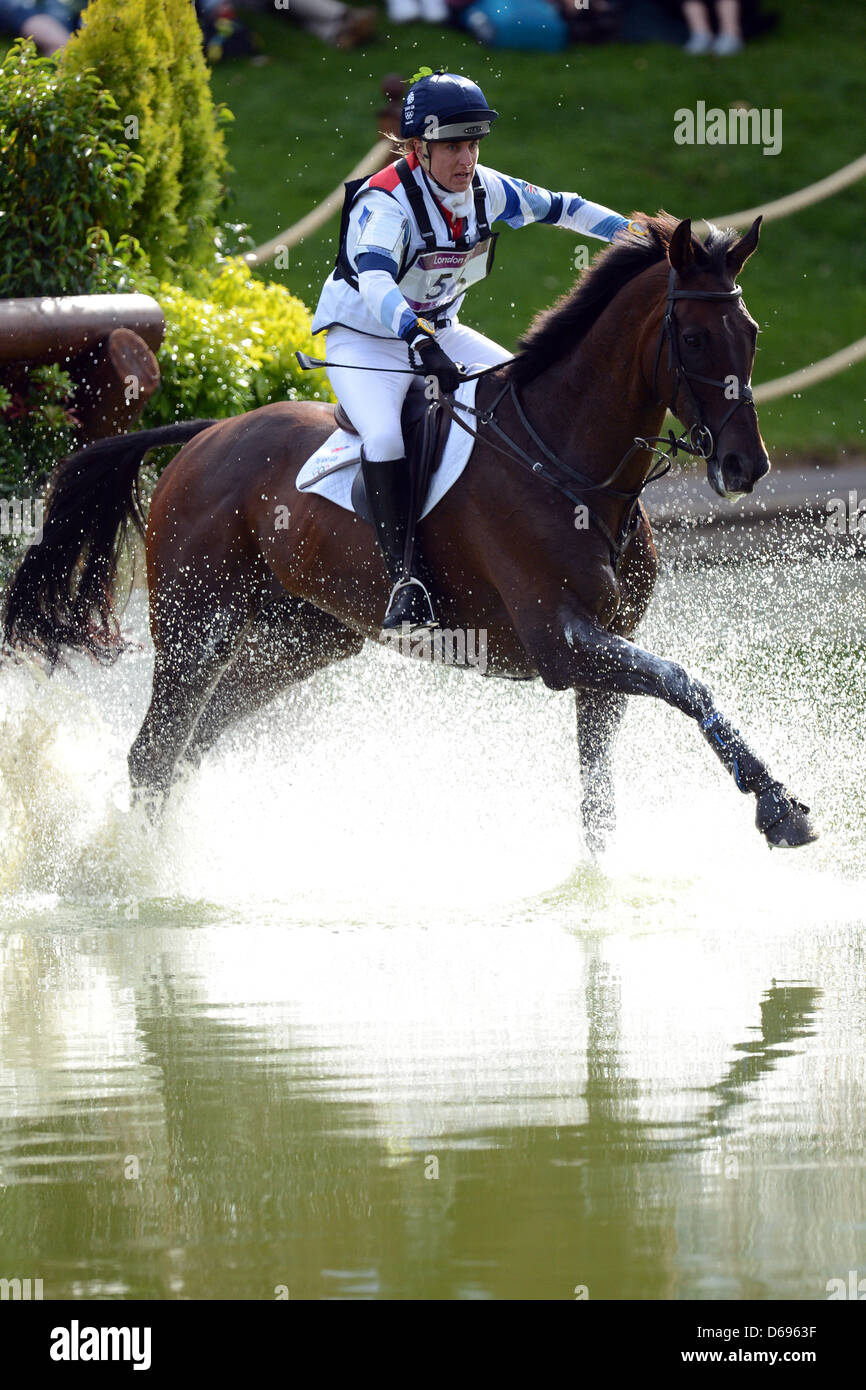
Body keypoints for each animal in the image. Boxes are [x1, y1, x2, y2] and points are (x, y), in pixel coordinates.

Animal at [2, 214, 817, 854]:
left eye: (749, 332)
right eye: (693, 338)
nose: (745, 466)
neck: (571, 466)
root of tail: (204, 436)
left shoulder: (605, 656)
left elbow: (600, 800)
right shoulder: (565, 645)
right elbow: (686, 682)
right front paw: (778, 807)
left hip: (299, 640)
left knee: (192, 743)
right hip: (197, 627)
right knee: (152, 753)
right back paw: (139, 878)